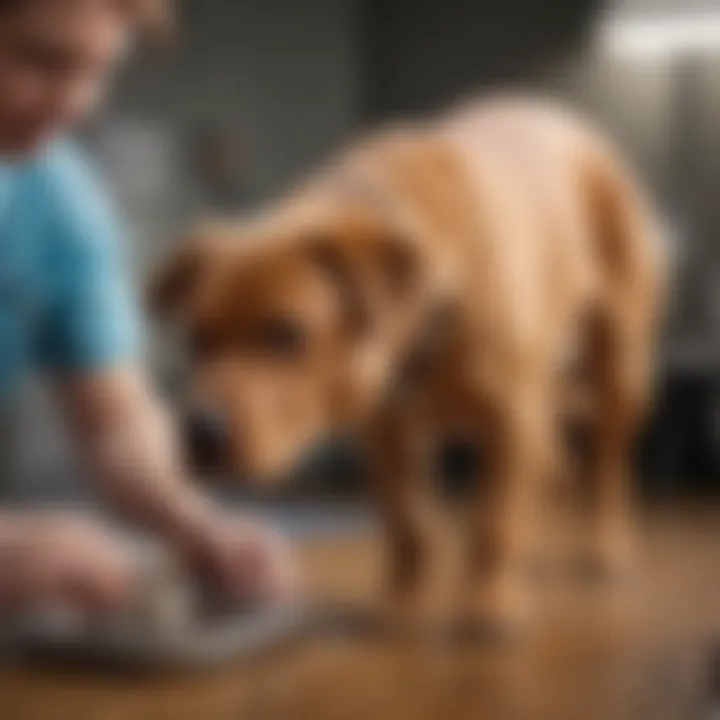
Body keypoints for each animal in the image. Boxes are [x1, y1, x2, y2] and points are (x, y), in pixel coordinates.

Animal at [150, 98, 664, 632]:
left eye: (285, 334)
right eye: (196, 339)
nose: (199, 432)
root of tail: (569, 122)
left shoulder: (510, 420)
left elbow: (493, 523)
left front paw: (490, 598)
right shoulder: (388, 433)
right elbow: (410, 525)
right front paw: (403, 601)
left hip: (620, 371)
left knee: (605, 467)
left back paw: (604, 544)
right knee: (556, 466)